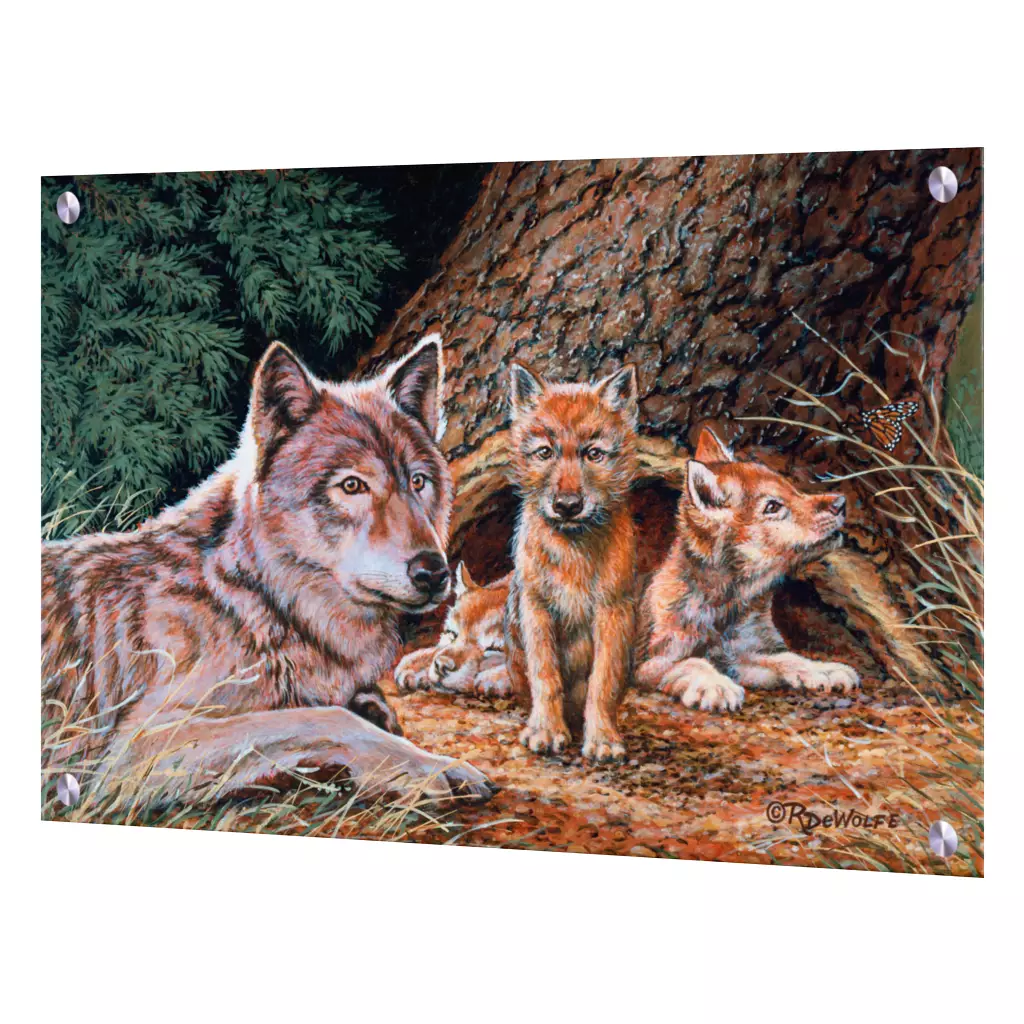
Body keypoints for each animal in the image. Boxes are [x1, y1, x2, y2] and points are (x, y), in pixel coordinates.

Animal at [41, 335, 496, 810]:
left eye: (418, 482)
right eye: (352, 486)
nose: (434, 572)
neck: (255, 603)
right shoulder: (136, 748)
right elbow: (326, 718)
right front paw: (432, 768)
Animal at [395, 564, 513, 696]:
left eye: (495, 648)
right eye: (452, 633)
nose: (441, 666)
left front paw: (493, 678)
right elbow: (435, 650)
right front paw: (413, 665)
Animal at [504, 361, 640, 762]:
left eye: (593, 454)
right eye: (545, 452)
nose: (567, 506)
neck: (573, 552)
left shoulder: (612, 611)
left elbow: (602, 684)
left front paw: (603, 739)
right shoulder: (536, 608)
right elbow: (546, 677)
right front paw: (546, 731)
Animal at [636, 426, 861, 711]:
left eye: (794, 490)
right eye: (773, 506)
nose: (841, 503)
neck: (727, 604)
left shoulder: (744, 652)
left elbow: (787, 658)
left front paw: (824, 670)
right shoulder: (650, 662)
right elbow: (693, 662)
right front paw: (716, 686)